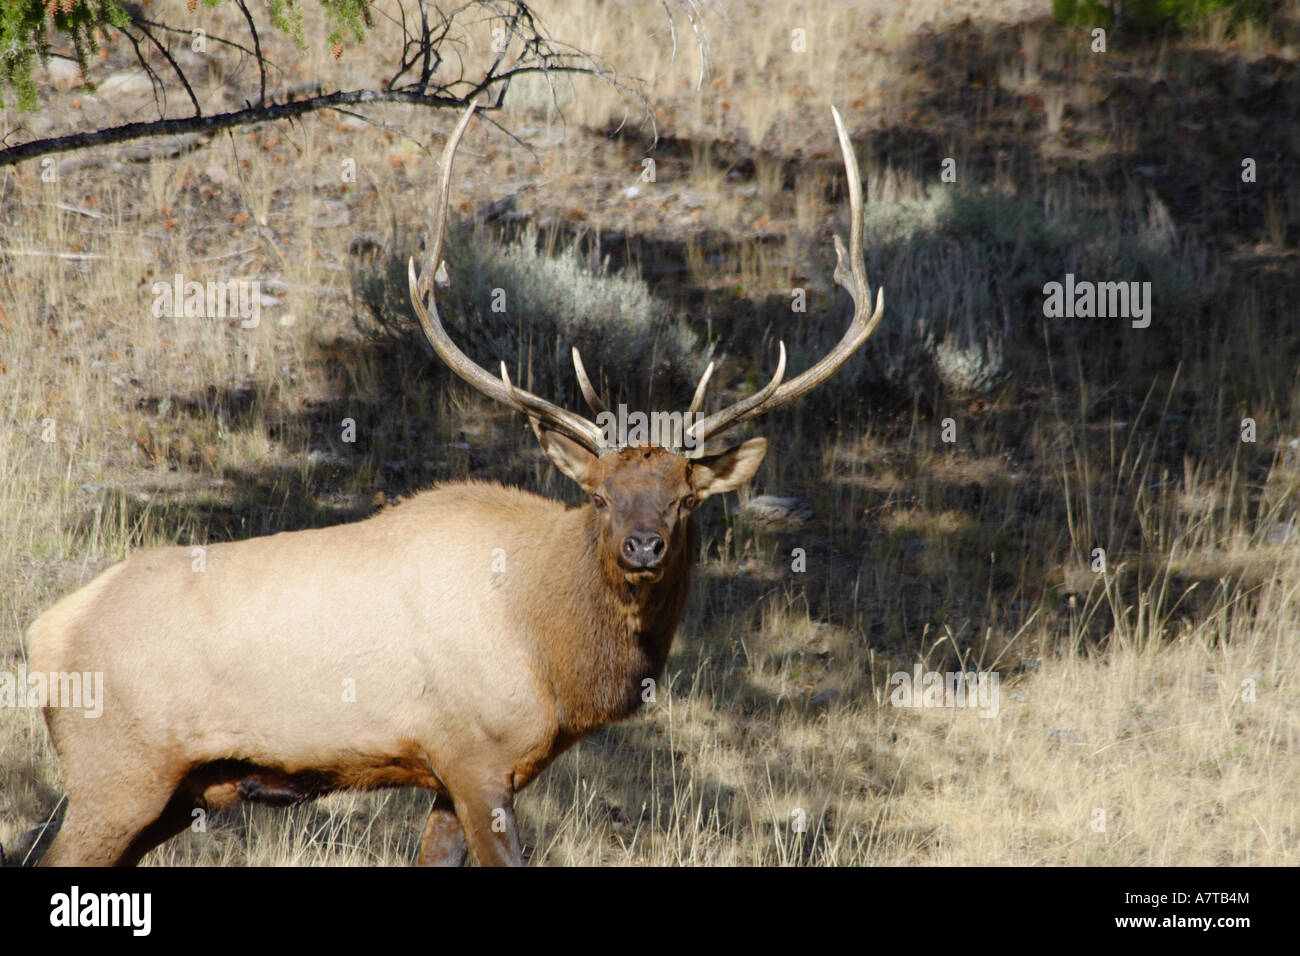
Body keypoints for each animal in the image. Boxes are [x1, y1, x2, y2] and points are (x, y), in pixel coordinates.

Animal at [23, 102, 883, 866]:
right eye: (600, 495)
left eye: (687, 498)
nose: (644, 546)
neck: (551, 651)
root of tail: (44, 632)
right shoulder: (474, 756)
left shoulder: (445, 772)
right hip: (118, 774)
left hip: (176, 791)